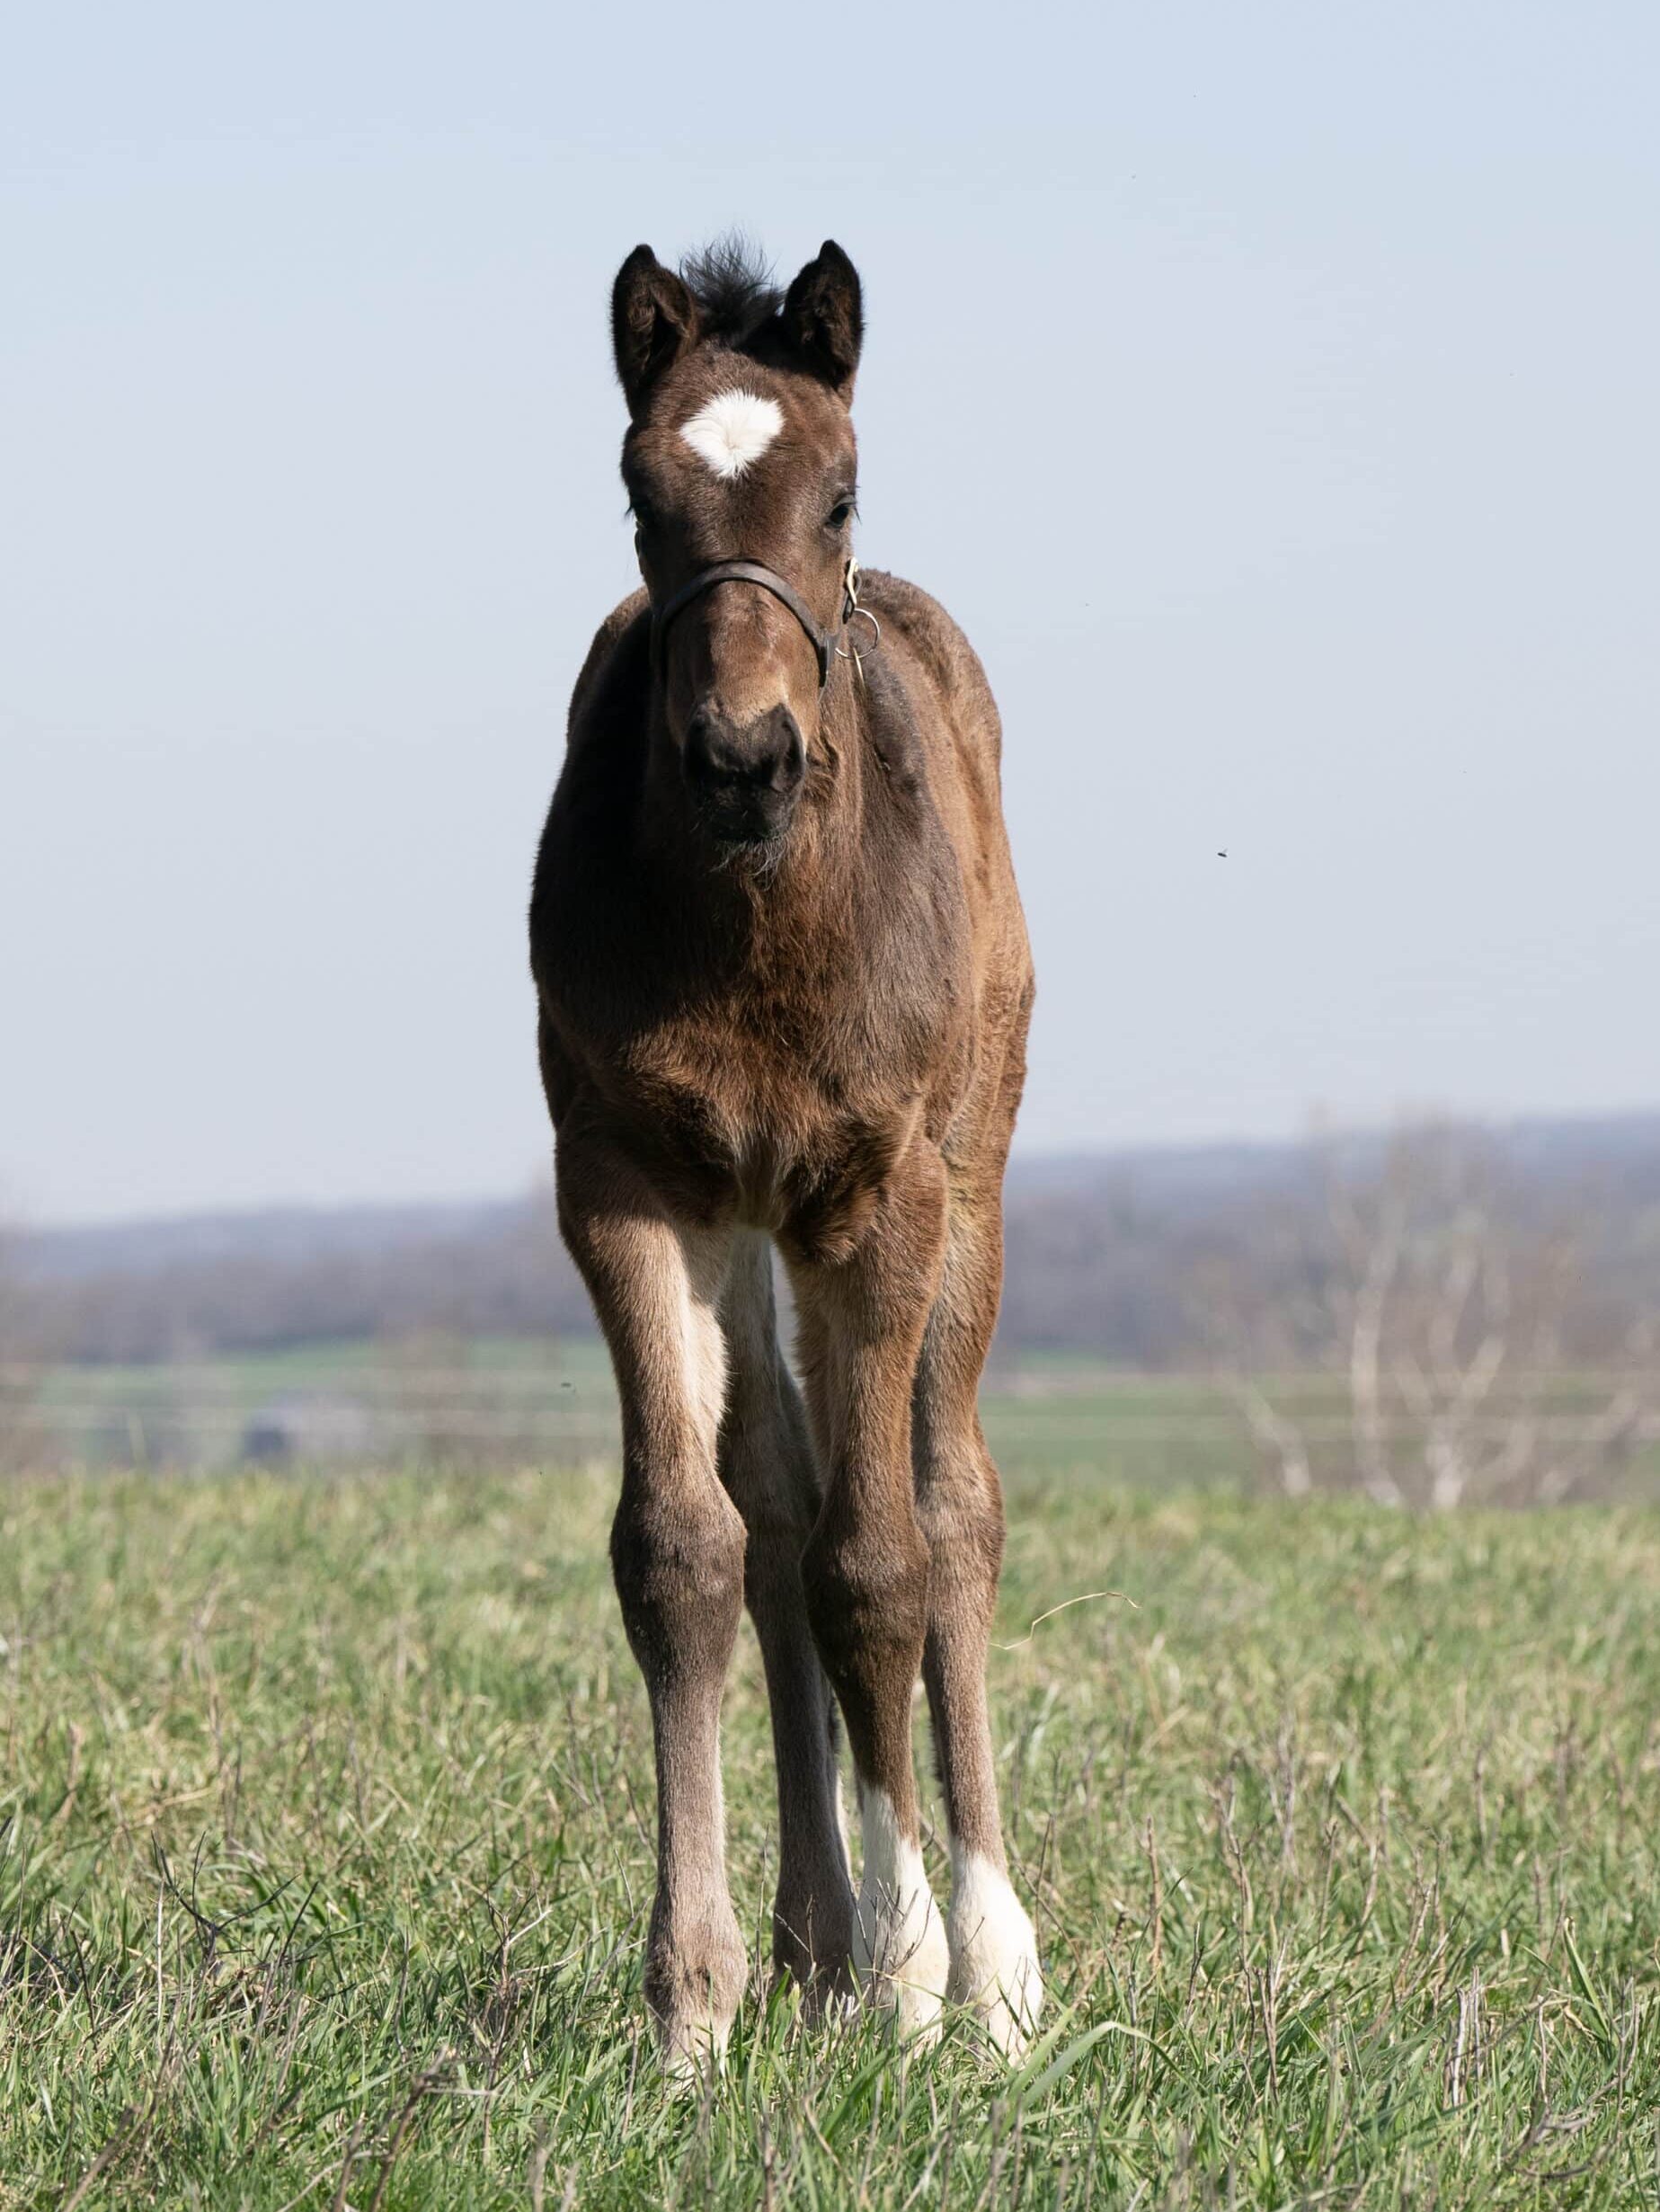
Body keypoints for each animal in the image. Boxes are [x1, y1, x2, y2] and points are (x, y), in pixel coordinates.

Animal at [529, 237, 1042, 2070]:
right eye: (638, 494)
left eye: (840, 490)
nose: (742, 757)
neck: (755, 928)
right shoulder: (623, 1188)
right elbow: (687, 1551)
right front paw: (691, 2006)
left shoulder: (875, 1200)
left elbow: (876, 1563)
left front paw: (914, 1978)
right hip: (750, 1229)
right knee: (773, 1498)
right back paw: (814, 1942)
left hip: (965, 1178)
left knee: (948, 1505)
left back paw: (987, 1954)